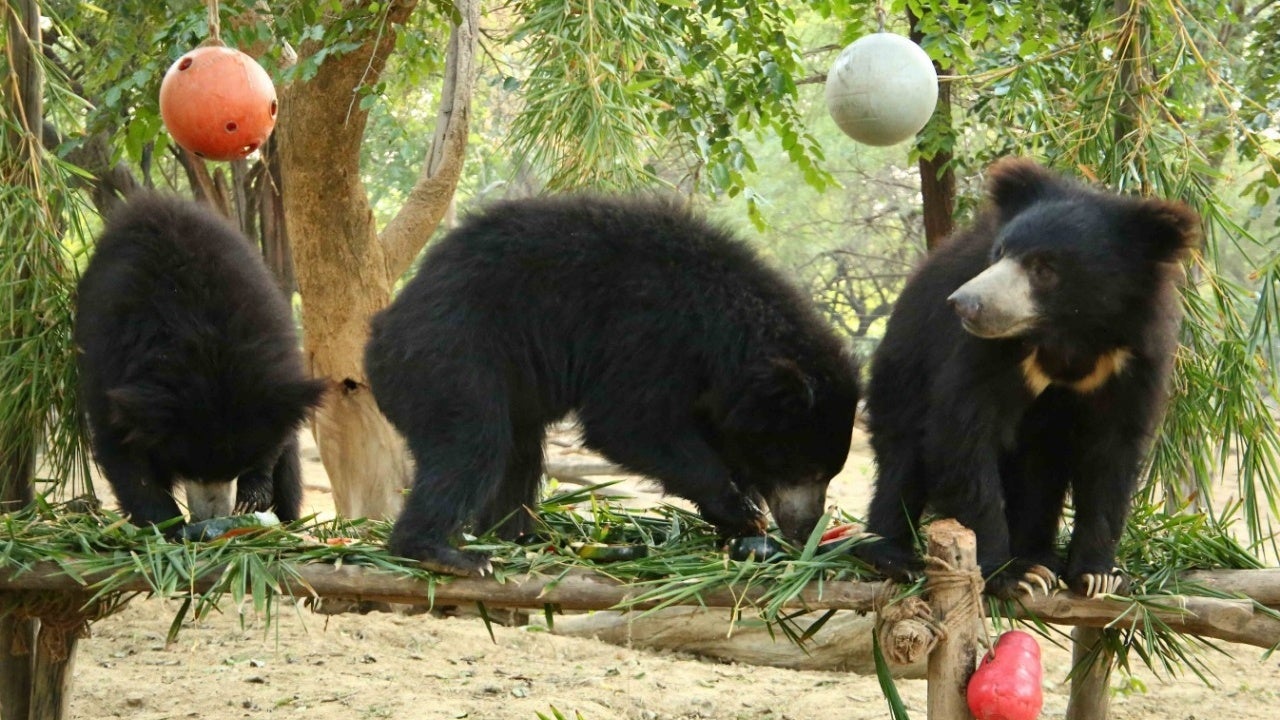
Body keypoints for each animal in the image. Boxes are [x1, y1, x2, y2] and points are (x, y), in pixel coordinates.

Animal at [75, 194, 327, 527]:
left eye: (237, 466)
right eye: (190, 466)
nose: (213, 516)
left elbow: (277, 435)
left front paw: (251, 497)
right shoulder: (109, 352)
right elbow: (121, 446)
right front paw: (166, 524)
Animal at [364, 195, 860, 576]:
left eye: (829, 473)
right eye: (807, 470)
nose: (807, 528)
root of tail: (378, 340)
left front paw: (742, 517)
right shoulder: (647, 330)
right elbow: (628, 422)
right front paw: (743, 511)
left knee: (518, 454)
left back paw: (521, 535)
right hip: (452, 357)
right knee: (471, 444)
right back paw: (446, 553)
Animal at [856, 158, 1200, 598]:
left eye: (1044, 268)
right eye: (1000, 252)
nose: (963, 303)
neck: (1069, 335)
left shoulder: (1132, 359)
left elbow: (1112, 454)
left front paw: (1099, 574)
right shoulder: (986, 350)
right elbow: (964, 433)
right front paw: (1007, 574)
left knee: (1040, 471)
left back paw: (1039, 556)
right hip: (903, 368)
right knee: (902, 454)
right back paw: (891, 555)